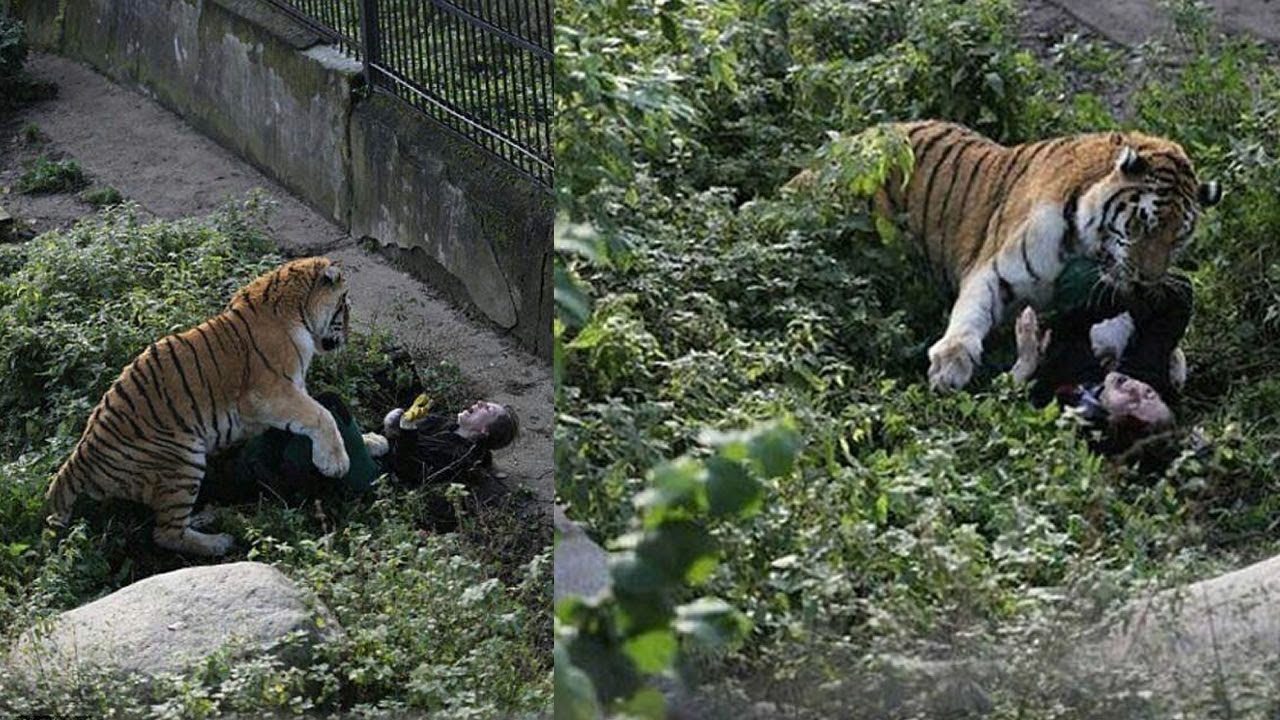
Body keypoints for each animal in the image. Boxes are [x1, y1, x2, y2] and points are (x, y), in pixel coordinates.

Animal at [44, 256, 352, 556]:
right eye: (345, 304)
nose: (349, 334)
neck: (298, 309)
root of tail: (79, 458)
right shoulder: (269, 393)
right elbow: (321, 415)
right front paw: (336, 463)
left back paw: (206, 517)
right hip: (183, 460)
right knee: (166, 533)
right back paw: (219, 542)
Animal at [866, 120, 1220, 391]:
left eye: (1177, 239)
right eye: (1141, 225)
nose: (1146, 281)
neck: (1084, 246)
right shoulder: (994, 270)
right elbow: (971, 312)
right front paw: (950, 363)